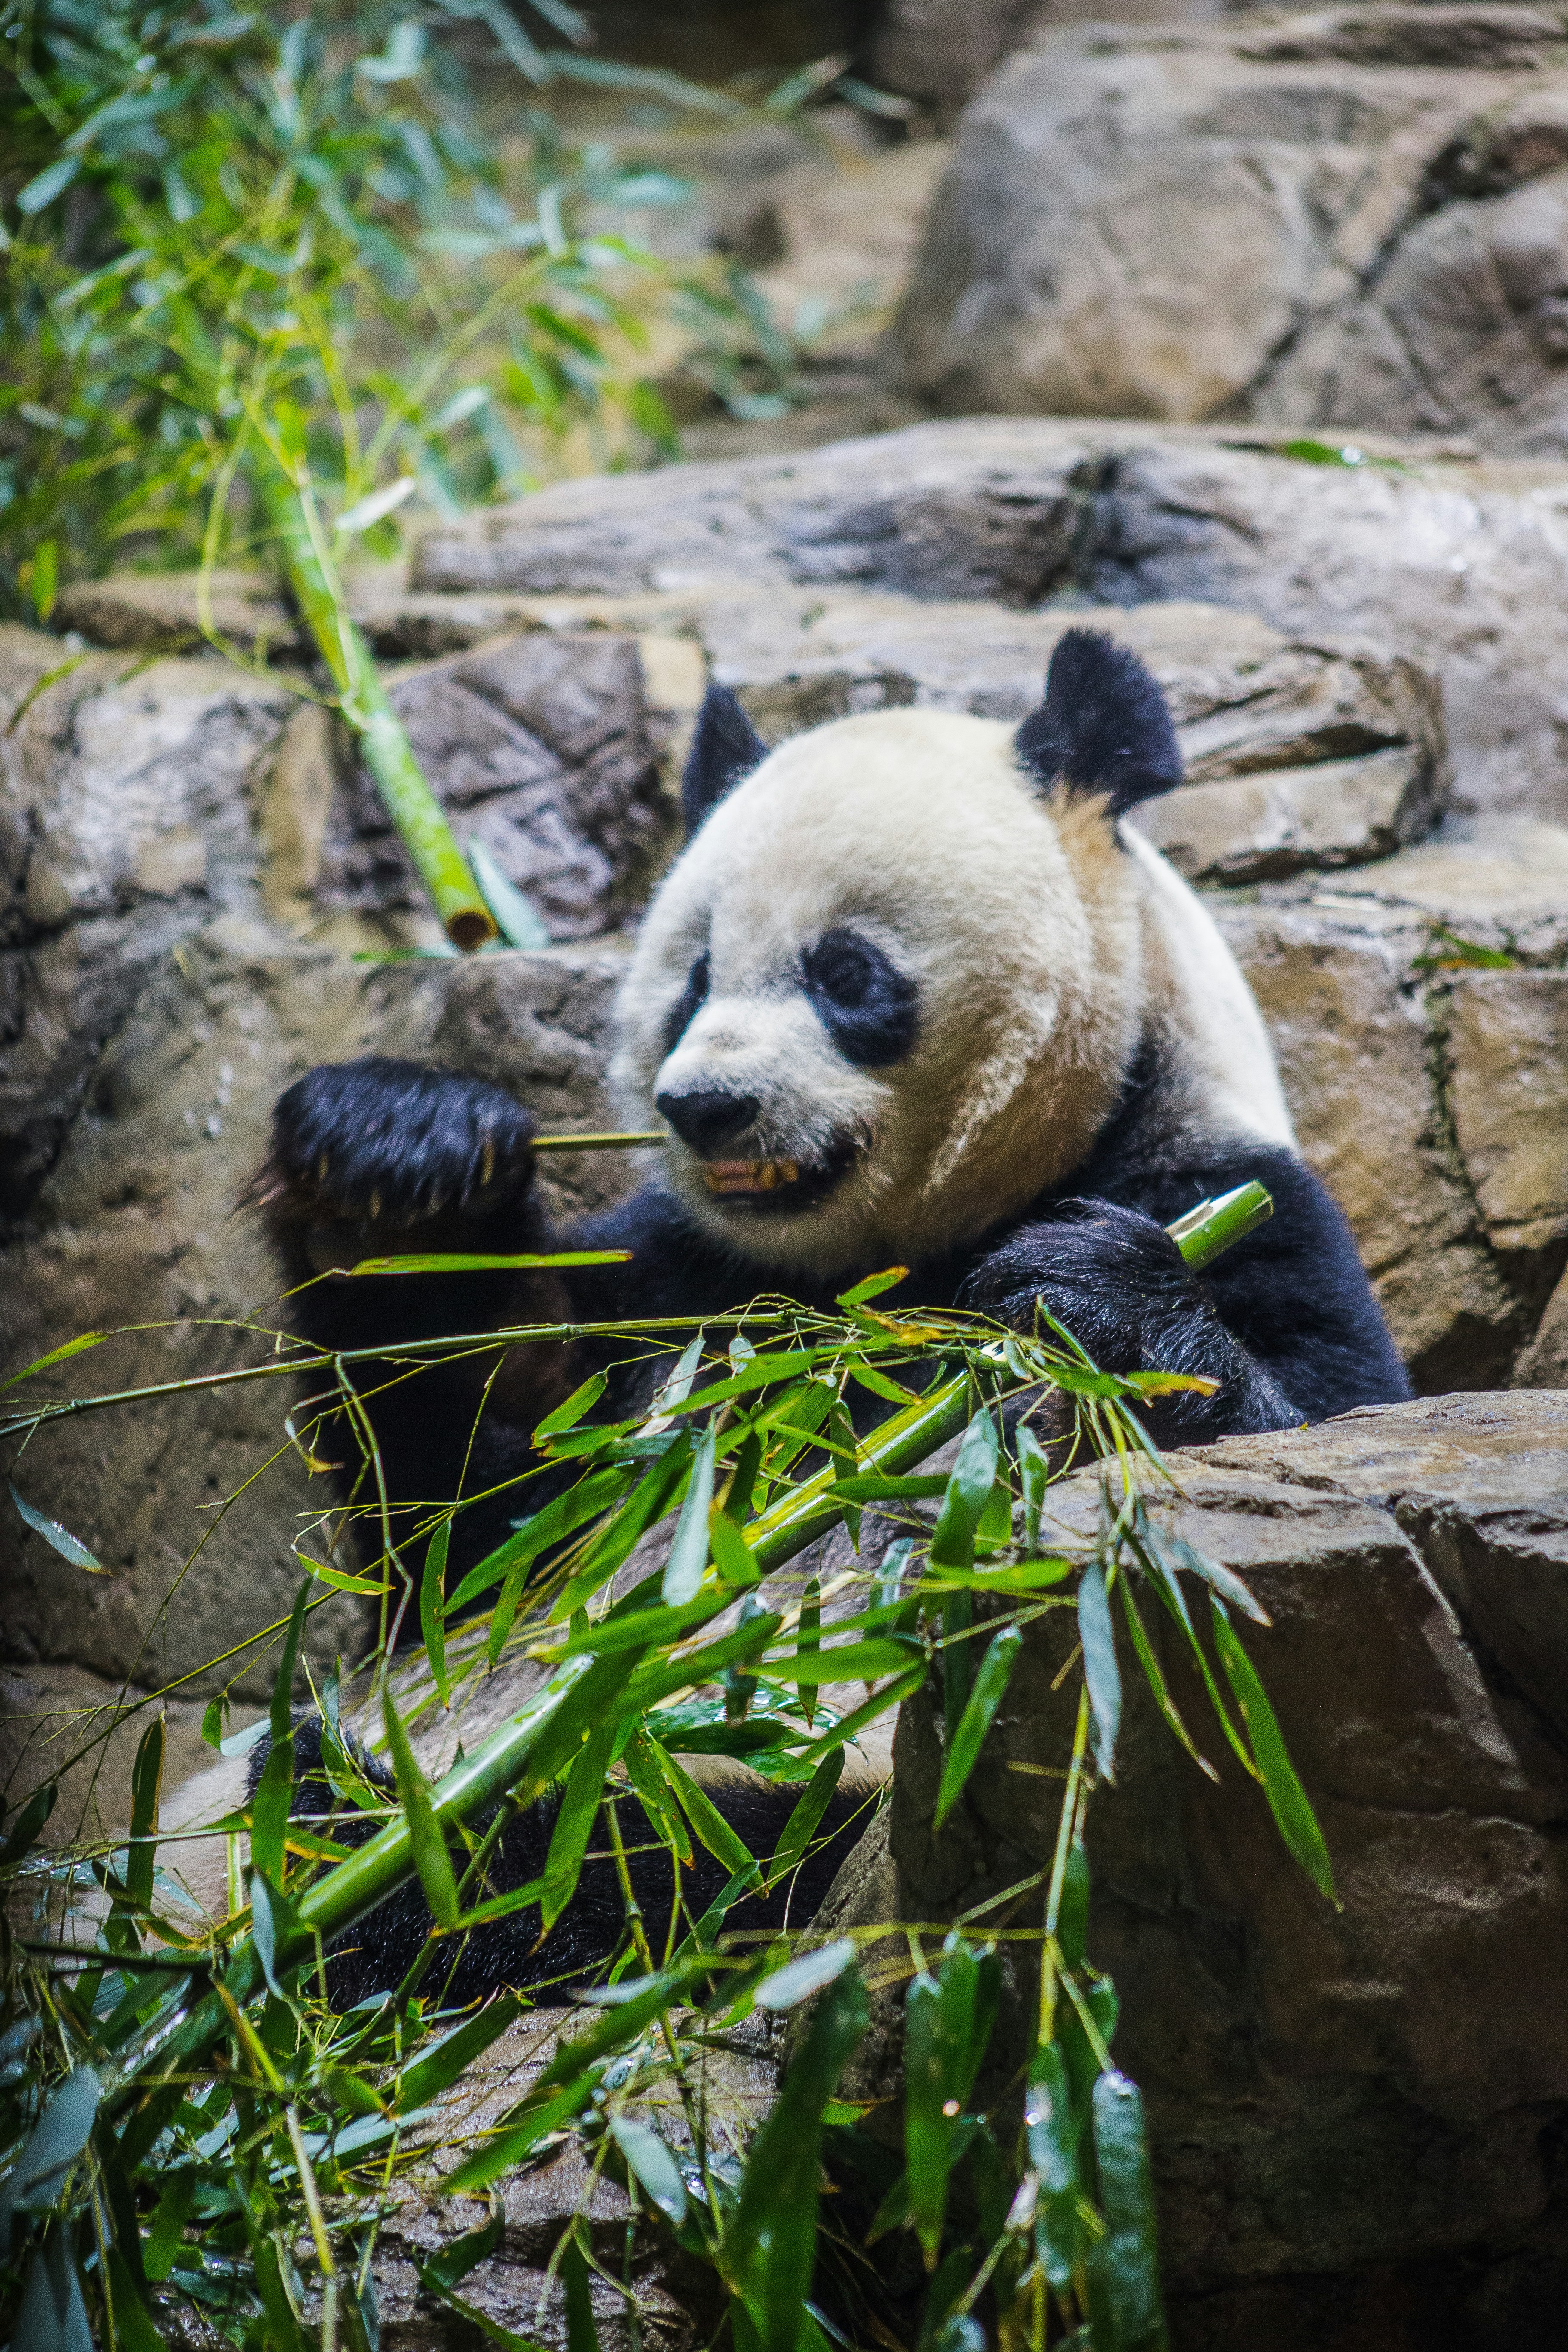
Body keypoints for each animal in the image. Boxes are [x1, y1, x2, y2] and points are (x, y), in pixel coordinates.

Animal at [219, 629, 1409, 2003]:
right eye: (692, 979)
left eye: (847, 974)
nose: (708, 1106)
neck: (875, 1268)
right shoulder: (684, 1293)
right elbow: (477, 1517)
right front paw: (390, 1162)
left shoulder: (1224, 1188)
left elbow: (1316, 1435)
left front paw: (1090, 1297)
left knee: (688, 1847)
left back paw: (370, 1847)